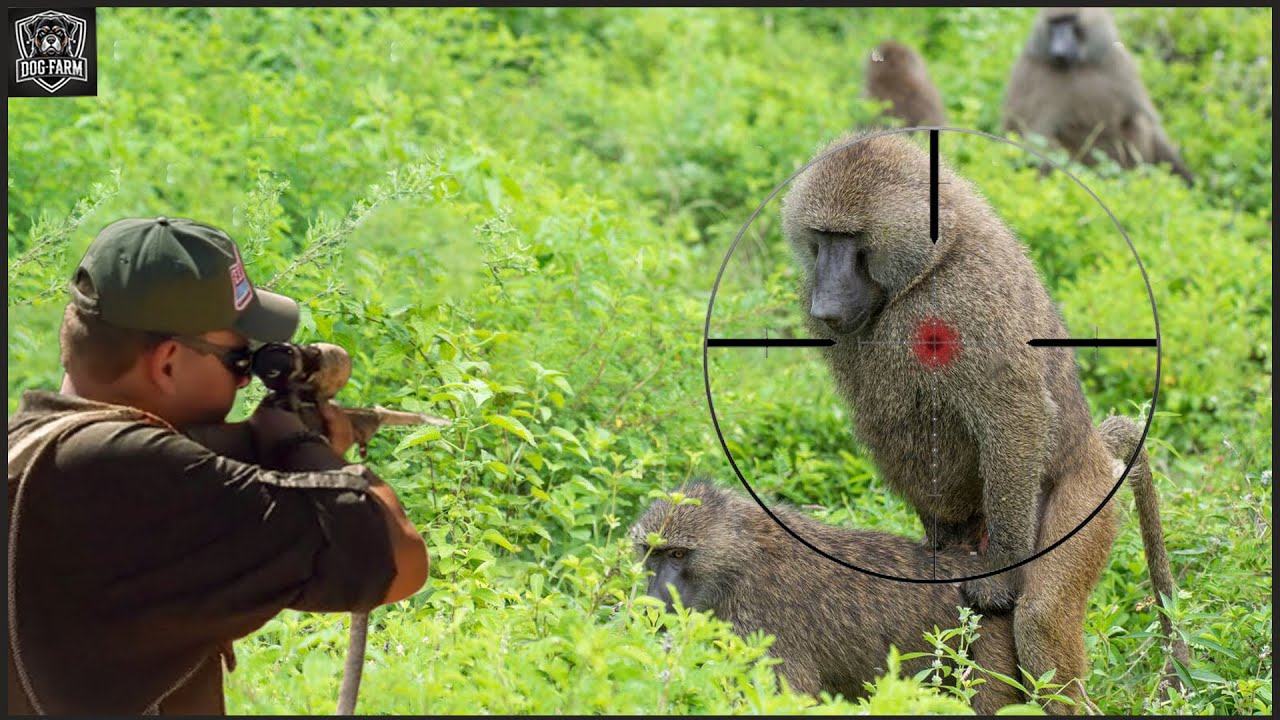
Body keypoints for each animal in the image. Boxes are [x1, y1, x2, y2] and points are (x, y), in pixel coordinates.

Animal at [629, 481, 1025, 714]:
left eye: (678, 555)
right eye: (652, 554)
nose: (652, 602)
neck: (739, 556)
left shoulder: (764, 621)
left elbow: (791, 697)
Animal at [780, 131, 1188, 712]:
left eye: (851, 238)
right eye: (821, 238)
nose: (826, 303)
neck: (928, 267)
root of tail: (1095, 448)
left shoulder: (968, 302)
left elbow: (1015, 413)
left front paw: (1000, 579)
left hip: (1084, 495)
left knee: (1040, 622)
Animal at [1003, 7, 1194, 186]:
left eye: (1070, 19)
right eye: (1054, 23)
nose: (1059, 48)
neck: (1082, 65)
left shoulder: (1120, 64)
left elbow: (1152, 123)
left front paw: (1188, 179)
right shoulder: (1030, 75)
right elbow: (1033, 138)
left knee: (1139, 121)